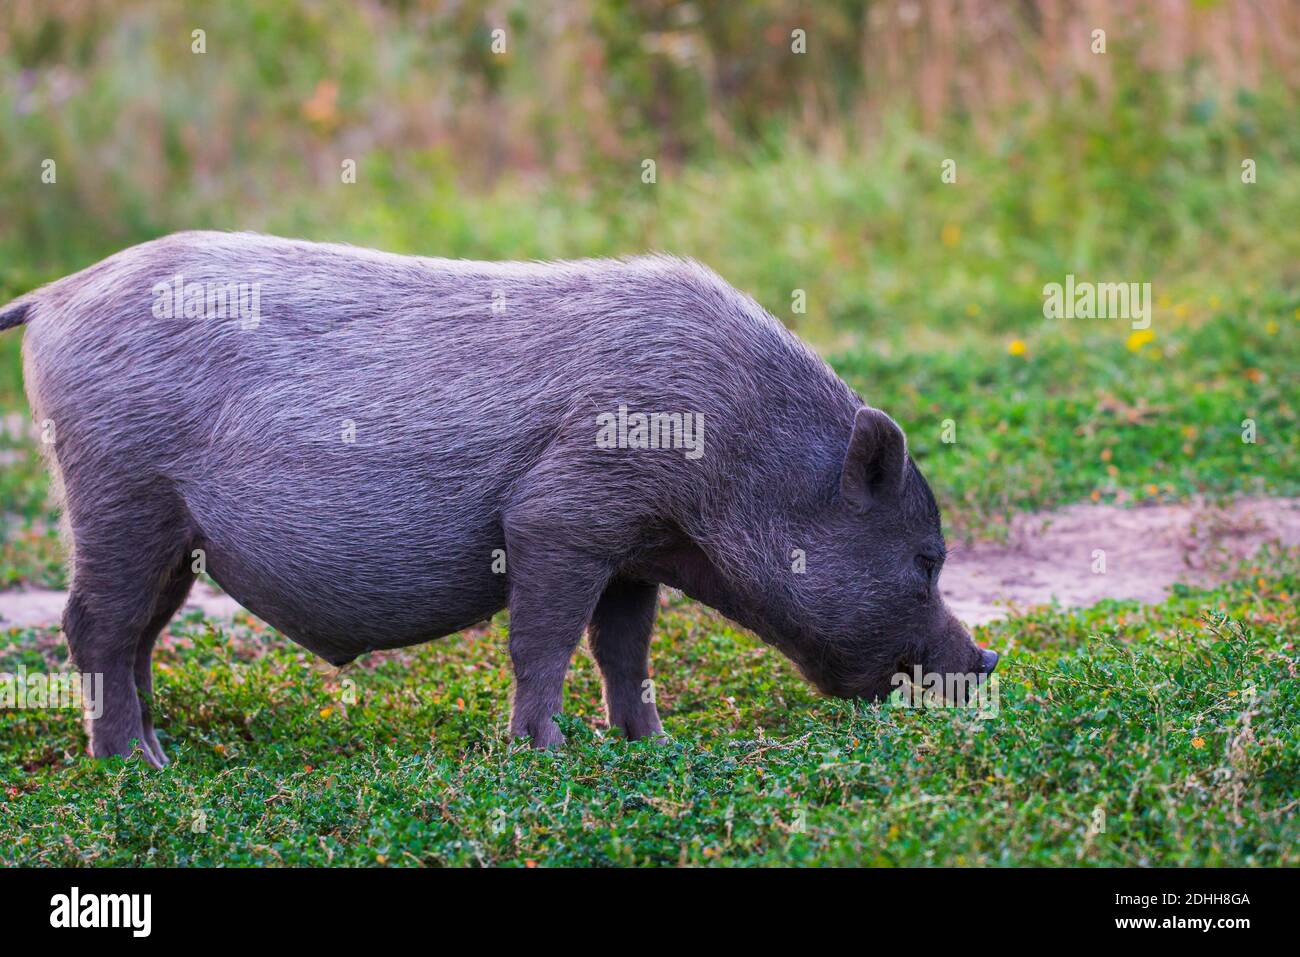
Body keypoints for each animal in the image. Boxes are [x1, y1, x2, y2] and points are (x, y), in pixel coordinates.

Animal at [0, 231, 996, 765]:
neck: (734, 451)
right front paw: (545, 752)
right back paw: (134, 765)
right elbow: (545, 640)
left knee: (139, 634)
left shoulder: (634, 548)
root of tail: (55, 292)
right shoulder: (565, 511)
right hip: (119, 491)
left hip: (169, 530)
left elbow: (623, 646)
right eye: (927, 559)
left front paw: (650, 746)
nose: (985, 661)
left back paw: (160, 747)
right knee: (94, 624)